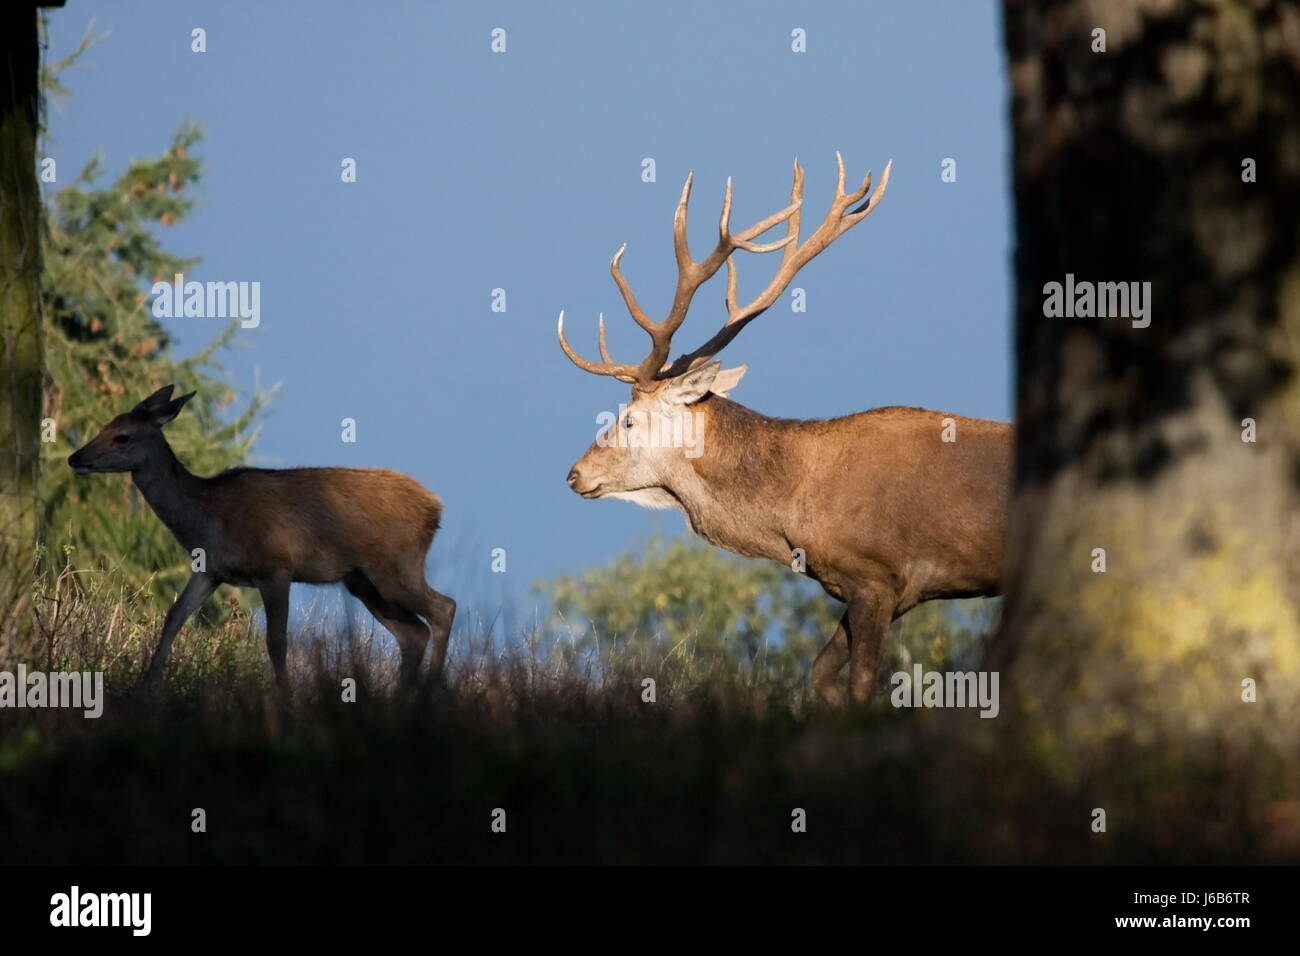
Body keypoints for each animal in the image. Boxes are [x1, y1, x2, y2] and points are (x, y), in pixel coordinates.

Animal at [67, 385, 456, 694]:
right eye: (104, 427)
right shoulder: (210, 569)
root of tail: (435, 506)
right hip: (362, 582)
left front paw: (285, 698)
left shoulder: (275, 567)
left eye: (122, 436)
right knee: (413, 633)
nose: (75, 457)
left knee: (443, 608)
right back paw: (404, 698)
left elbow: (276, 642)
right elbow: (173, 618)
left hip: (395, 566)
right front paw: (146, 688)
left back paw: (428, 692)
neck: (208, 516)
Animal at [557, 155, 1012, 706]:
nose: (575, 473)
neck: (793, 514)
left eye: (627, 418)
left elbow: (862, 685)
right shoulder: (874, 588)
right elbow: (818, 673)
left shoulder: (877, 575)